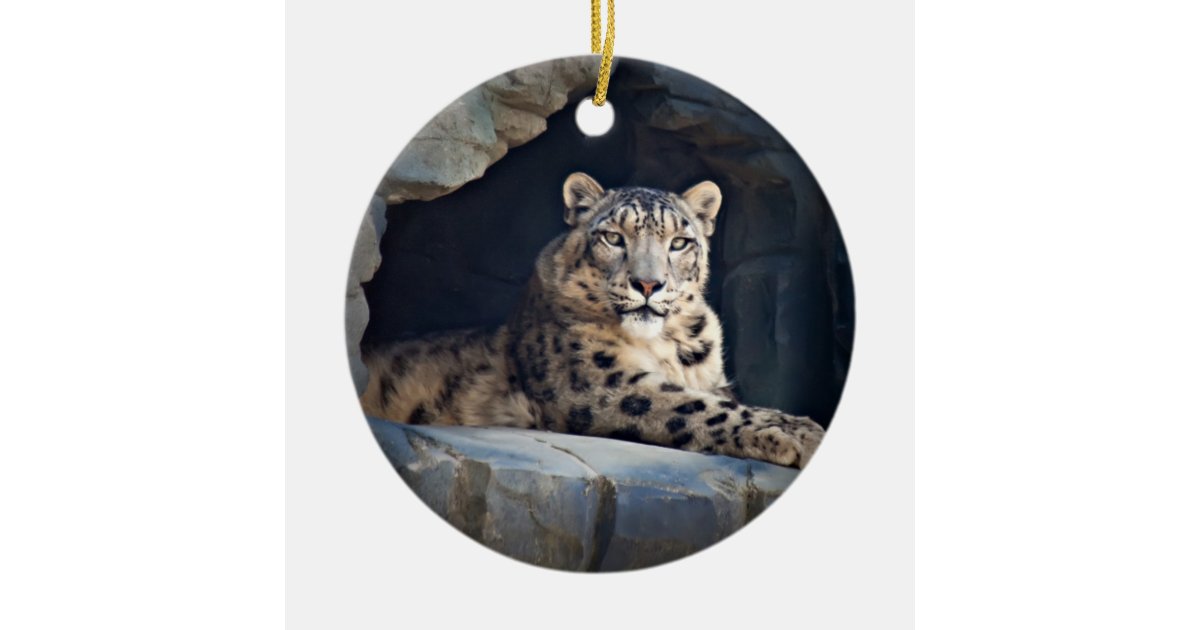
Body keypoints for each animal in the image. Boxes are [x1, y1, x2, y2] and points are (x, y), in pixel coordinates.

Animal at [359, 172, 825, 469]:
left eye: (679, 242)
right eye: (614, 237)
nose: (648, 283)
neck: (667, 347)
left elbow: (723, 401)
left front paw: (795, 426)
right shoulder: (598, 383)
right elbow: (695, 406)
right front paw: (801, 434)